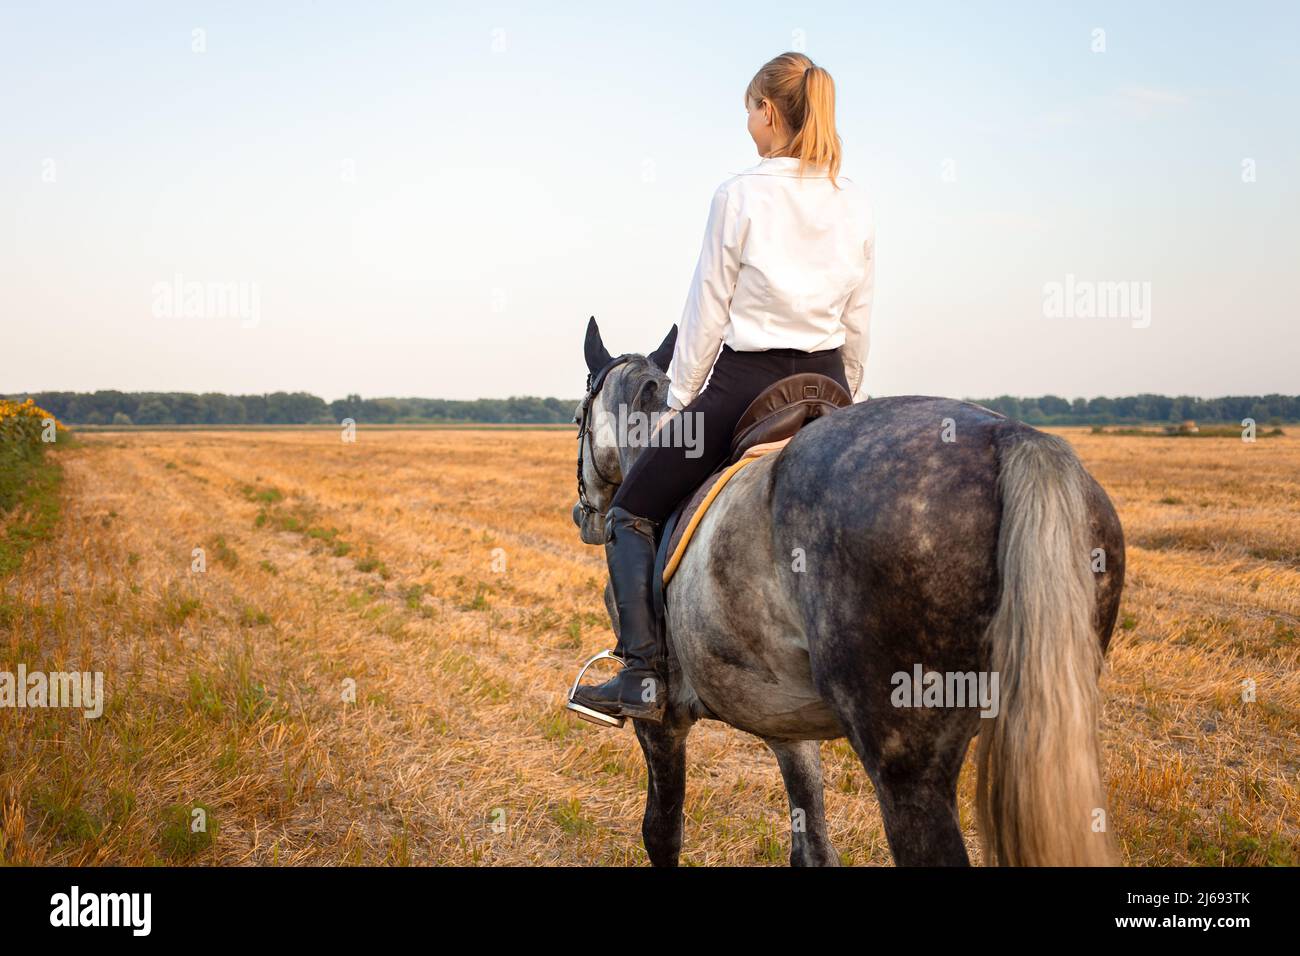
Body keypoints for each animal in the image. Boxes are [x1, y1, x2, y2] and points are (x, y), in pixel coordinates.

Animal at [571, 319, 1125, 866]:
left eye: (578, 415)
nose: (584, 515)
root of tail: (1010, 437)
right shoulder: (786, 722)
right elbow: (813, 846)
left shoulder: (661, 721)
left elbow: (662, 833)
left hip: (905, 763)